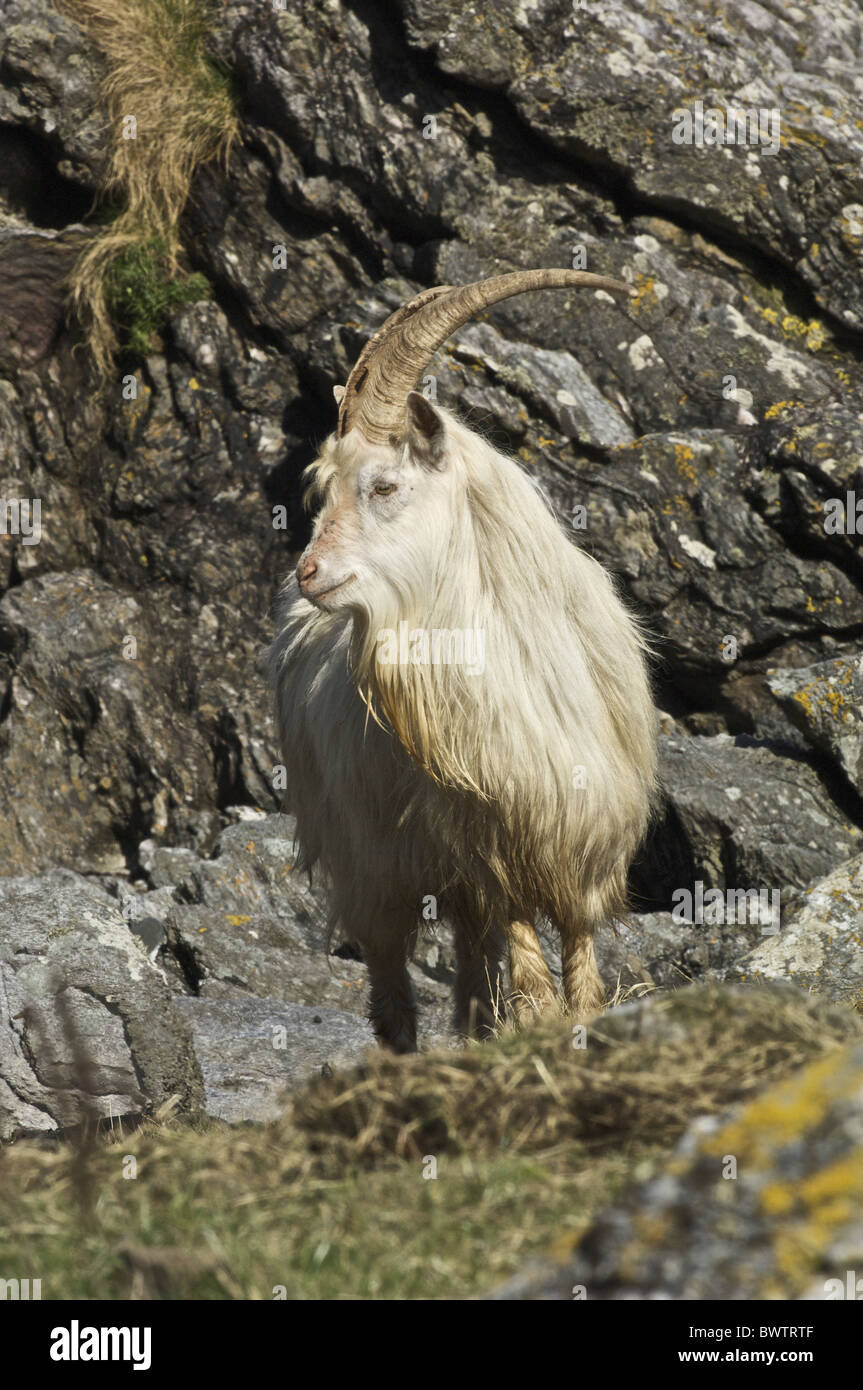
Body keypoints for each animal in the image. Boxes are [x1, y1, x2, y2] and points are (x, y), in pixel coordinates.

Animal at [269, 270, 658, 1052]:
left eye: (384, 485)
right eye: (324, 487)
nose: (308, 572)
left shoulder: (579, 836)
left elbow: (579, 963)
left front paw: (581, 1028)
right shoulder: (490, 843)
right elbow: (532, 973)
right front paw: (540, 1030)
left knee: (474, 971)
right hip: (372, 863)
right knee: (390, 978)